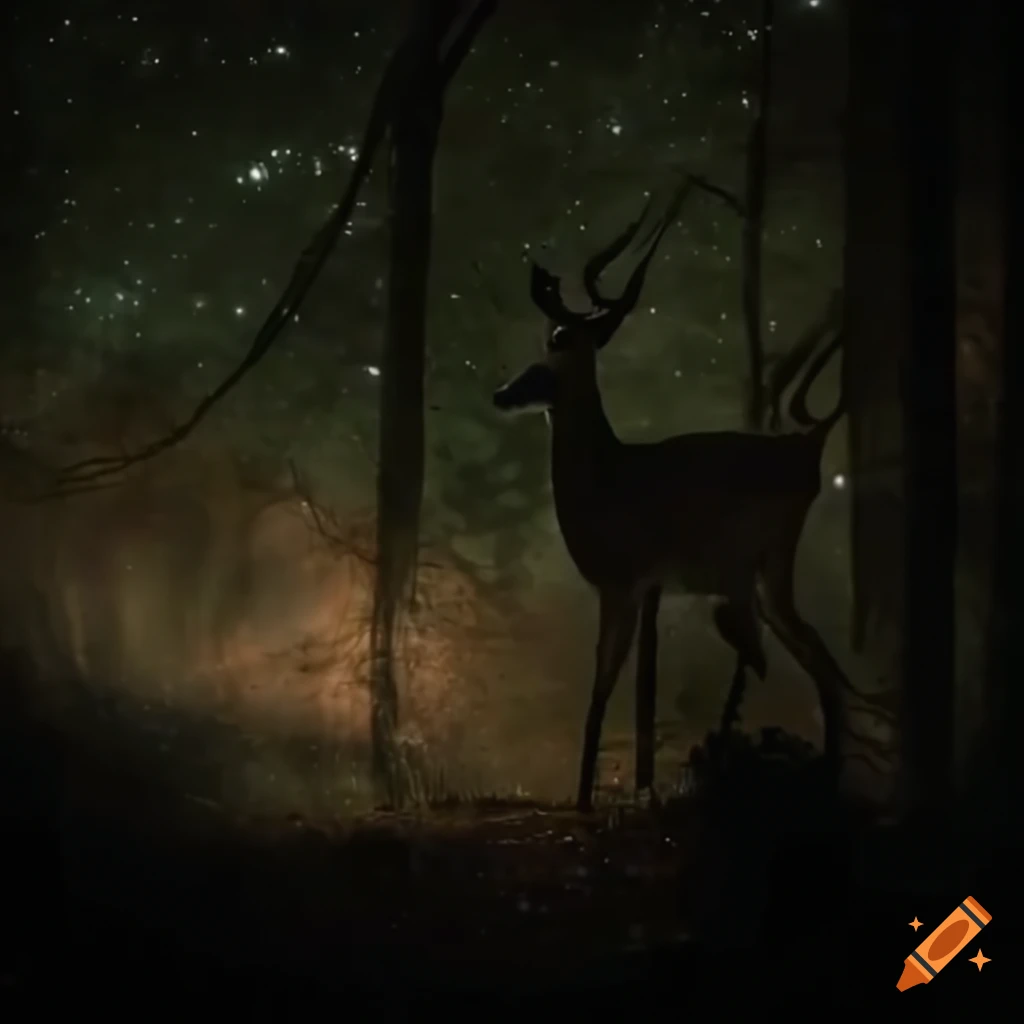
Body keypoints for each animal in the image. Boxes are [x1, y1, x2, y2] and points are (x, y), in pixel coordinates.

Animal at [493, 181, 872, 812]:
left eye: (554, 343)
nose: (502, 392)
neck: (604, 481)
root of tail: (808, 447)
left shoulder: (623, 581)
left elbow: (605, 687)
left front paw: (587, 798)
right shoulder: (653, 586)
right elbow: (638, 686)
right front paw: (634, 787)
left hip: (758, 560)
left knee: (799, 656)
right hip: (765, 572)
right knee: (817, 657)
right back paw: (821, 773)